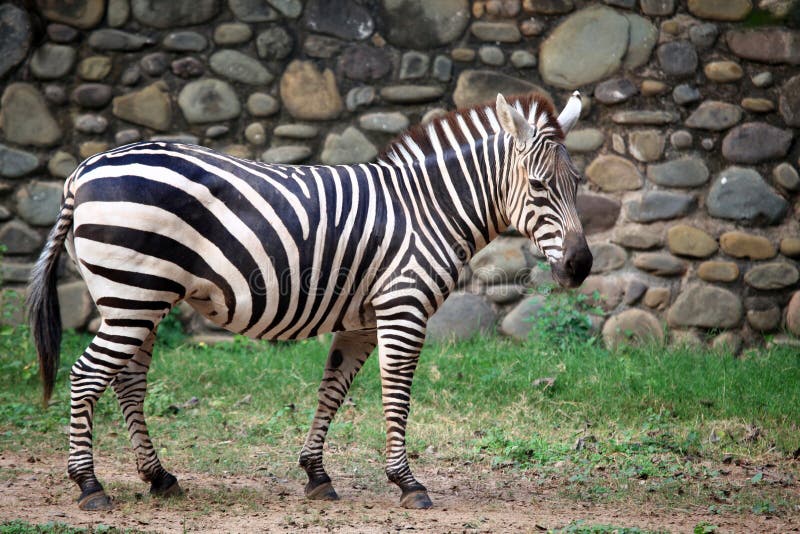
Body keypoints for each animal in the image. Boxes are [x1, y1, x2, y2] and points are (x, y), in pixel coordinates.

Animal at [28, 91, 592, 511]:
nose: (581, 266)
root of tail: (82, 171)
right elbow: (397, 394)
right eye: (538, 187)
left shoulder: (363, 319)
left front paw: (316, 474)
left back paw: (159, 476)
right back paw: (89, 485)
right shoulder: (403, 306)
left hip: (137, 297)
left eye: (577, 184)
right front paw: (407, 483)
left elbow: (332, 390)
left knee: (127, 380)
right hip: (132, 293)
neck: (428, 209)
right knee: (86, 375)